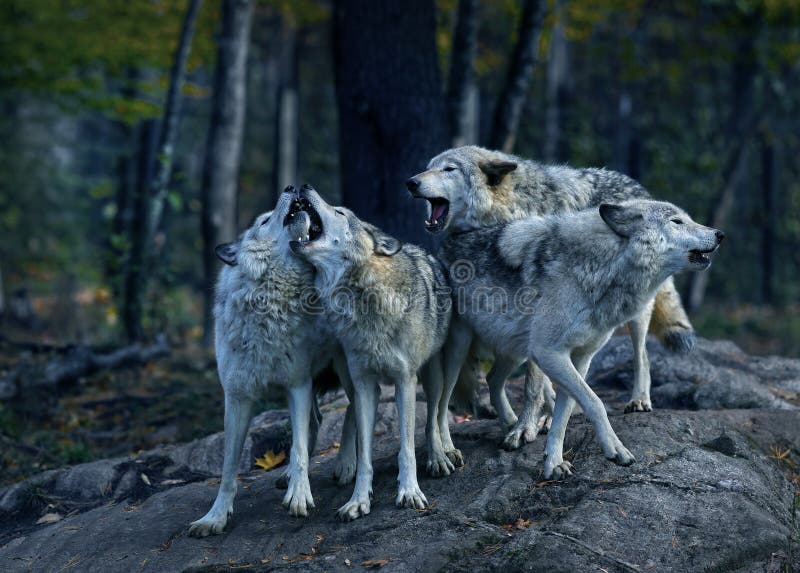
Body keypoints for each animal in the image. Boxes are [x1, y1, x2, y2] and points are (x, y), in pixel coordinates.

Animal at [188, 186, 357, 536]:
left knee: (351, 410)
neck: (270, 300)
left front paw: (300, 496)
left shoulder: (297, 385)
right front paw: (215, 517)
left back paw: (346, 464)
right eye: (265, 220)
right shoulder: (238, 397)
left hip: (344, 368)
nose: (294, 187)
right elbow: (228, 467)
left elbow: (298, 449)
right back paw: (288, 475)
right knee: (317, 420)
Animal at [289, 184, 452, 520]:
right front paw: (358, 500)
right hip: (348, 375)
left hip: (432, 374)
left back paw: (439, 457)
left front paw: (409, 491)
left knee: (434, 417)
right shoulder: (364, 383)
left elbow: (406, 447)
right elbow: (366, 455)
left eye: (340, 212)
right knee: (351, 414)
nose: (303, 186)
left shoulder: (405, 381)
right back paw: (345, 465)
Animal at [407, 146, 695, 446]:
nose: (411, 182)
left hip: (636, 314)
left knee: (642, 355)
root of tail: (635, 185)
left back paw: (639, 399)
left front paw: (527, 426)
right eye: (429, 166)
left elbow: (534, 384)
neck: (509, 208)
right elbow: (544, 380)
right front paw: (542, 416)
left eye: (449, 169)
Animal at [439, 199, 723, 477]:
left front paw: (553, 463)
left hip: (516, 350)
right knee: (442, 403)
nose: (720, 234)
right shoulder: (550, 353)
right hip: (460, 351)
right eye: (677, 221)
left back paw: (511, 426)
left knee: (493, 379)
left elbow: (564, 414)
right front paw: (615, 449)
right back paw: (445, 453)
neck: (600, 268)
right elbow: (595, 402)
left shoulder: (580, 357)